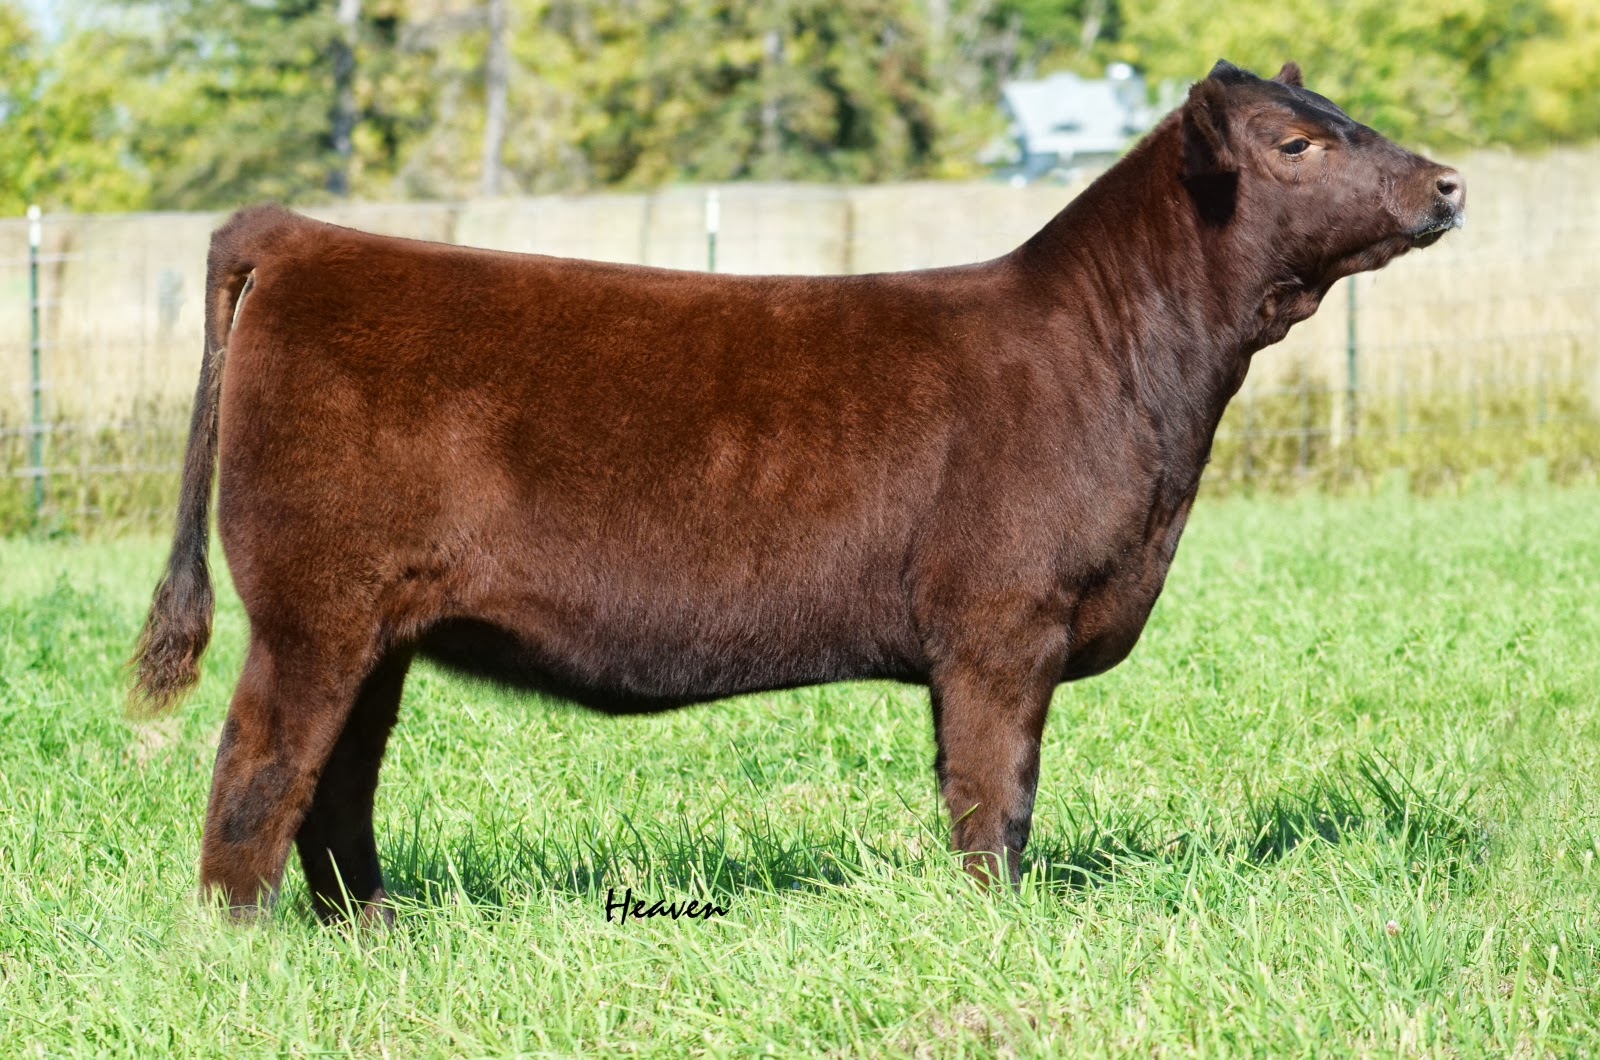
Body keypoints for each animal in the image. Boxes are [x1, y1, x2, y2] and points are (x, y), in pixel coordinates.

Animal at [132, 60, 1464, 922]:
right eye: (1295, 144)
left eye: (1346, 116)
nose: (1448, 183)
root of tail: (301, 235)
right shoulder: (1002, 622)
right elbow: (997, 794)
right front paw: (1003, 925)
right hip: (312, 608)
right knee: (261, 766)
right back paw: (244, 944)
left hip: (377, 626)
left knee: (340, 779)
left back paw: (371, 927)